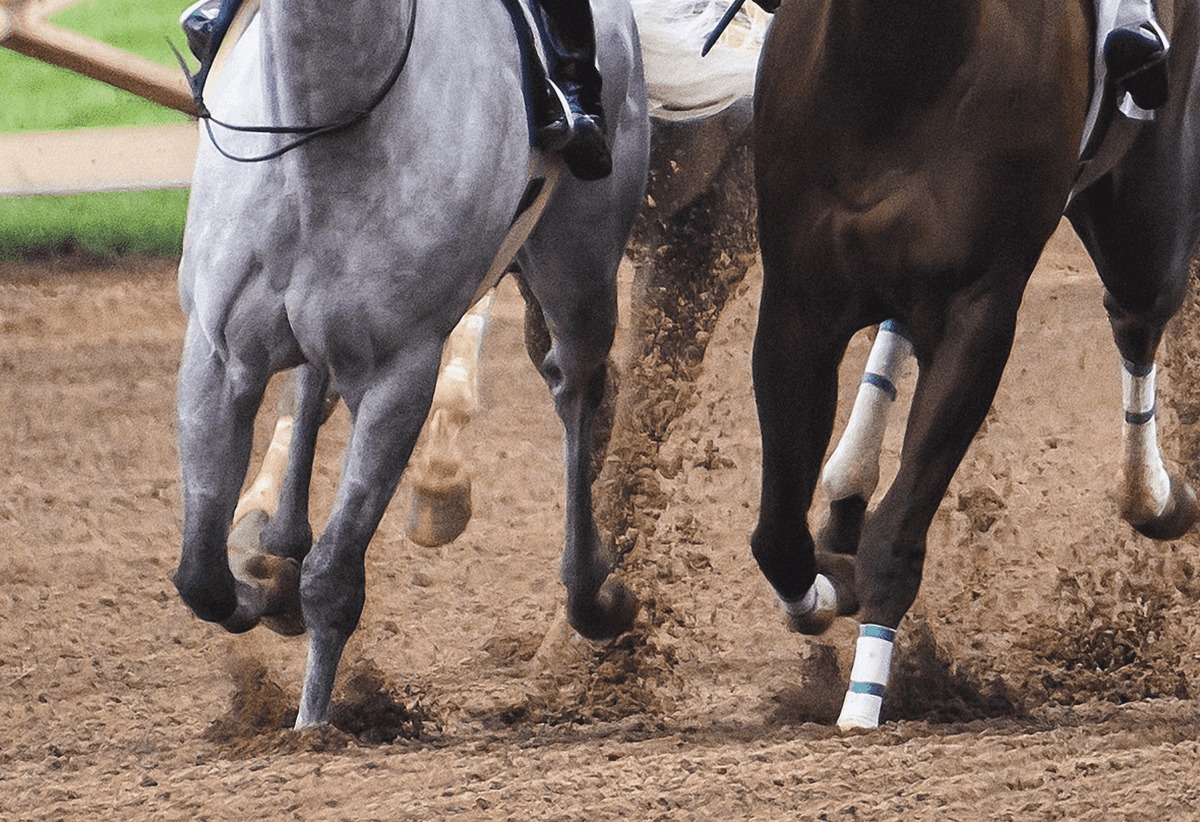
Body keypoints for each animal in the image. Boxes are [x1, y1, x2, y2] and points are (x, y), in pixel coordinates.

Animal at [172, 0, 651, 727]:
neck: (323, 127)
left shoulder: (402, 370)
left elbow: (334, 578)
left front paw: (312, 727)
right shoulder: (218, 354)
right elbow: (201, 575)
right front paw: (264, 587)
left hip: (581, 270)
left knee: (575, 389)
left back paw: (591, 593)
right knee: (312, 381)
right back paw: (279, 546)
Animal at [752, 0, 1200, 728]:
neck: (897, 65)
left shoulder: (978, 310)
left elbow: (896, 536)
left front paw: (861, 708)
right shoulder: (797, 307)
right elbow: (776, 538)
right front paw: (823, 591)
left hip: (1149, 215)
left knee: (1135, 314)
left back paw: (1156, 497)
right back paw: (847, 485)